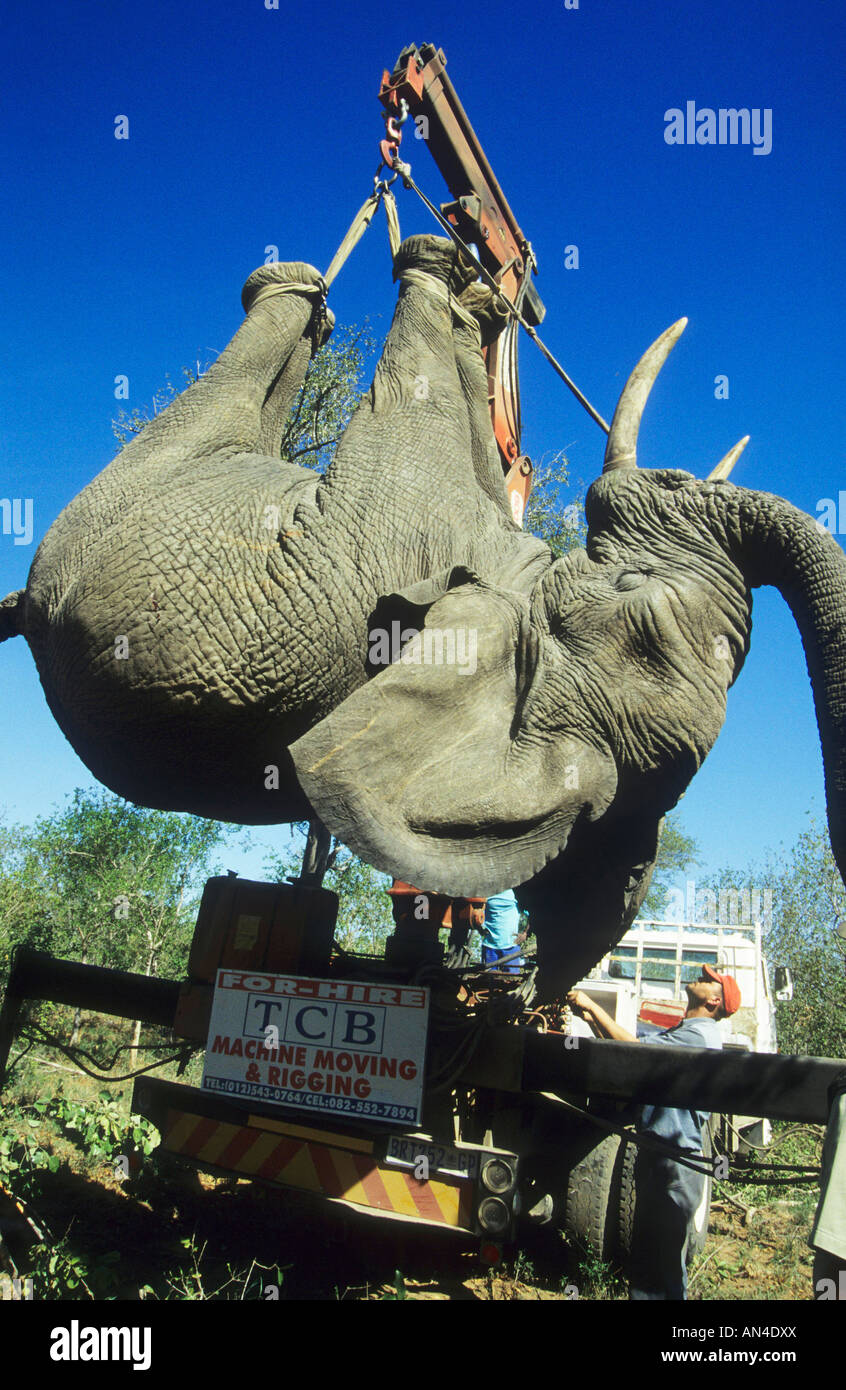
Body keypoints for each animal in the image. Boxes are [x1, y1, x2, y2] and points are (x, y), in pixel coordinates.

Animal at [3, 232, 846, 994]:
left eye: (633, 582)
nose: (678, 479)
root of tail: (29, 613)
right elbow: (480, 416)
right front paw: (482, 291)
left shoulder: (393, 523)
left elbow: (419, 385)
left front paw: (436, 261)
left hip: (137, 481)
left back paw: (295, 287)